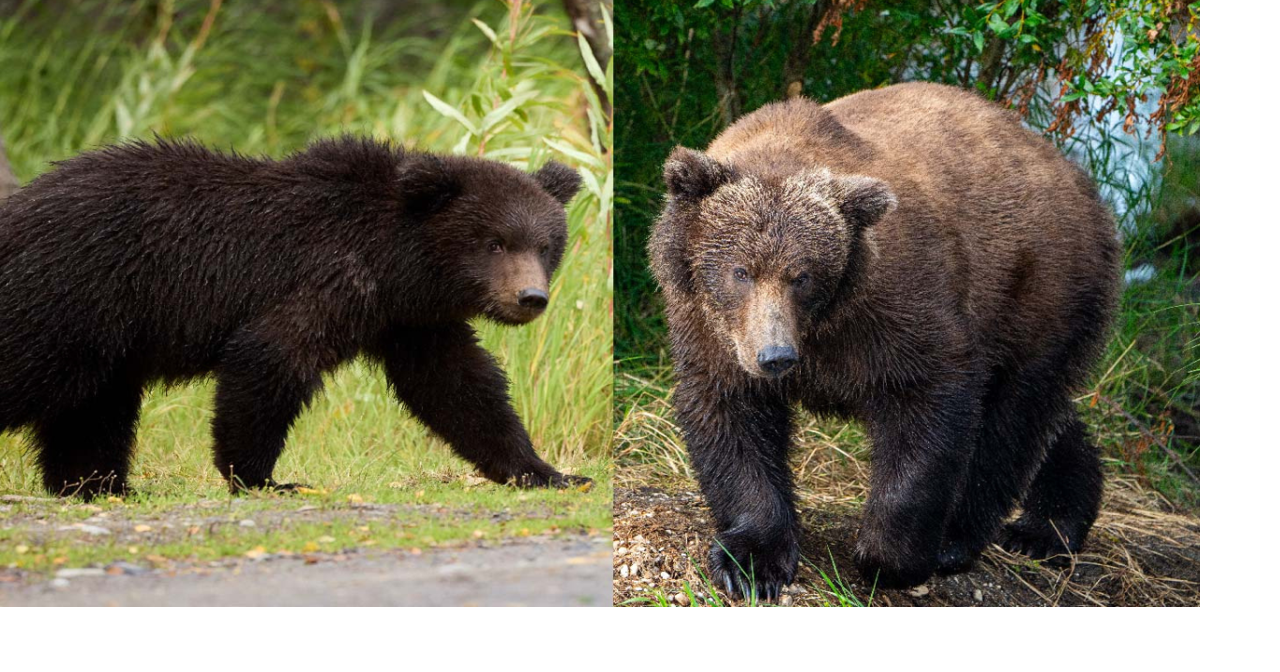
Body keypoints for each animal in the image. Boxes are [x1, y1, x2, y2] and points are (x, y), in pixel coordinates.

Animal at [0, 136, 590, 499]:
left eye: (545, 244)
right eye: (495, 242)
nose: (530, 297)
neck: (396, 260)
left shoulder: (410, 321)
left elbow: (460, 388)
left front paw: (548, 471)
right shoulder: (326, 279)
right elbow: (272, 354)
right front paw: (263, 478)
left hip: (106, 339)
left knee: (95, 409)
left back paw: (99, 485)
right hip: (70, 298)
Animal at [648, 82, 1120, 598]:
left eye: (802, 276)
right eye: (741, 271)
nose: (776, 357)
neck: (822, 327)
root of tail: (1080, 181)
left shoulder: (899, 306)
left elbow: (928, 404)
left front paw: (889, 557)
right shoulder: (711, 328)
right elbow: (731, 416)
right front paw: (751, 561)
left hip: (1039, 289)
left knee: (1014, 415)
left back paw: (966, 538)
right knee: (1047, 417)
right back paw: (1052, 523)